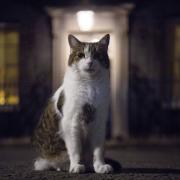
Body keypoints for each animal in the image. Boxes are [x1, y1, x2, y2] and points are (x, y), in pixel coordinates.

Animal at [31, 33, 113, 173]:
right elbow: (75, 150)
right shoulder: (71, 123)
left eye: (97, 55)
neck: (90, 85)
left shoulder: (99, 122)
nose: (90, 62)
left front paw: (100, 166)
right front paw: (75, 166)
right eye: (81, 55)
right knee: (51, 164)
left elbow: (98, 151)